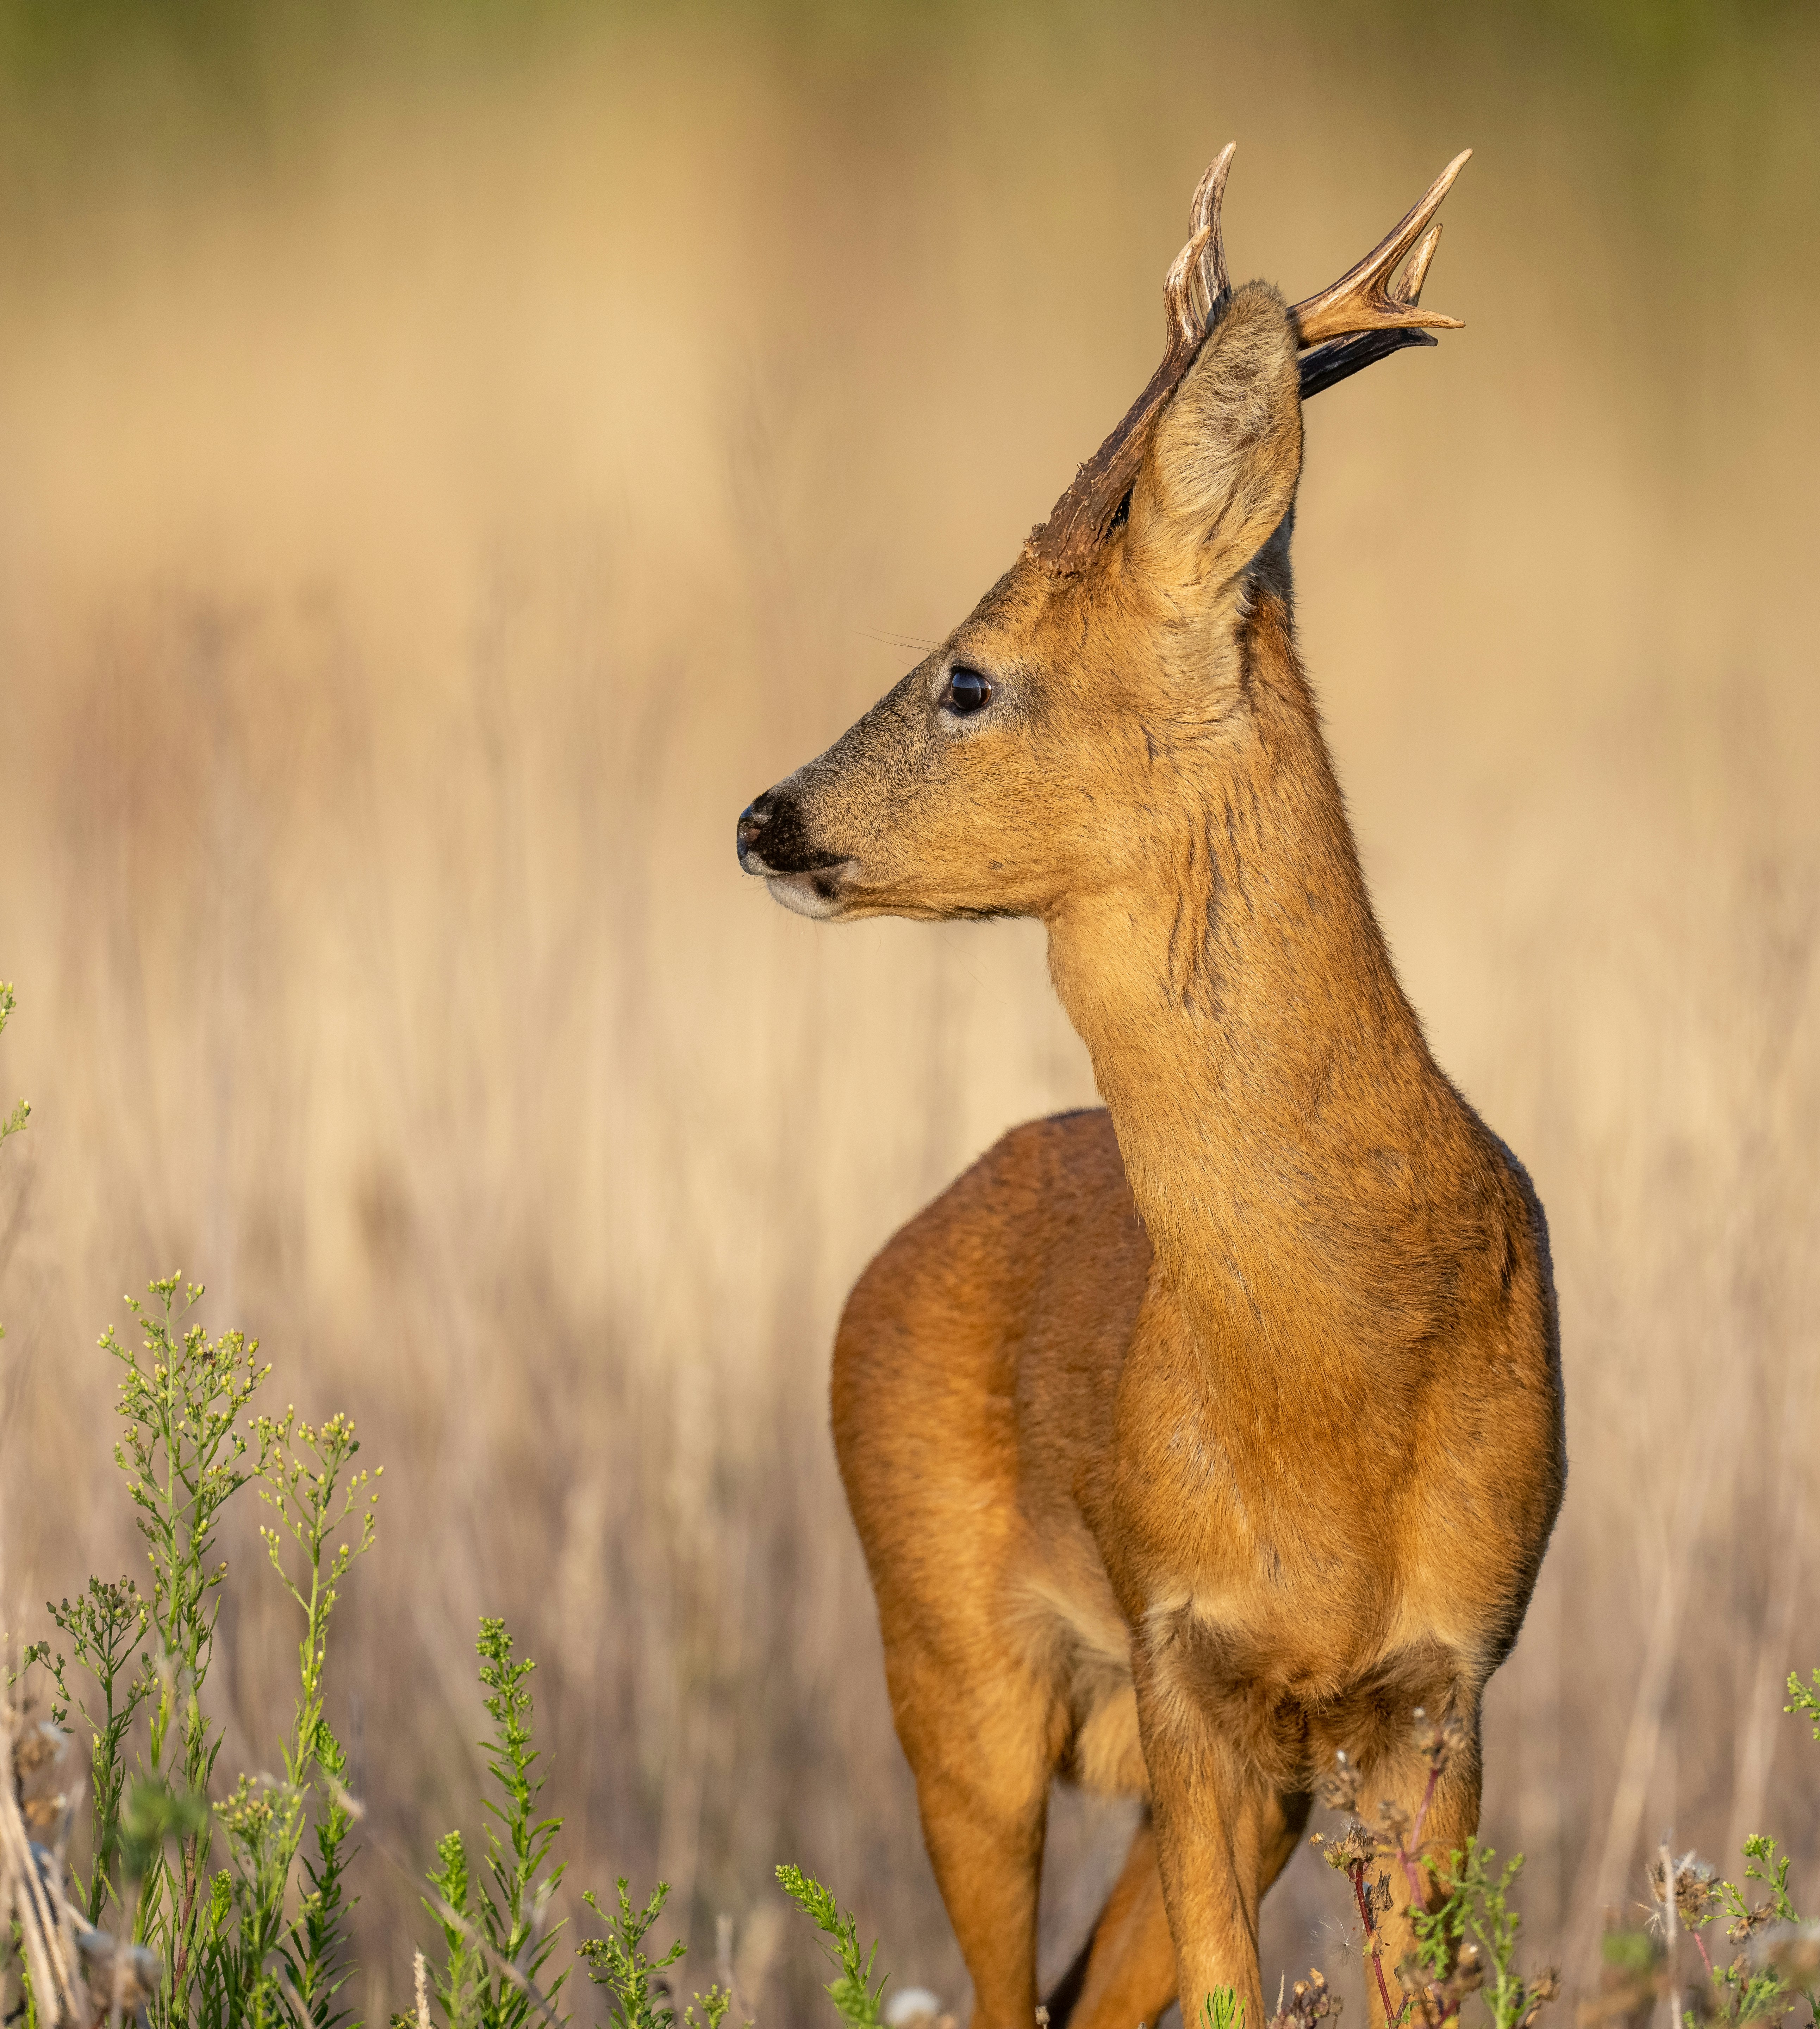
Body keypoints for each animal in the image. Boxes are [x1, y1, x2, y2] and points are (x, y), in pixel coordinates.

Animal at [735, 143, 1565, 2029]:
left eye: (969, 674)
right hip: (947, 1662)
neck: (1339, 1370)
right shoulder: (1186, 1652)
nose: (766, 817)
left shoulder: (1442, 1682)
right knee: (1002, 1992)